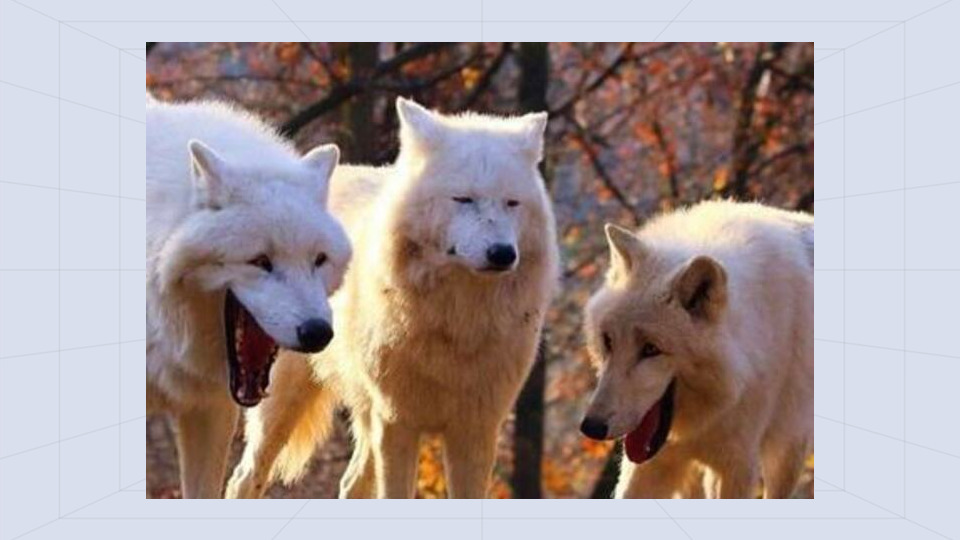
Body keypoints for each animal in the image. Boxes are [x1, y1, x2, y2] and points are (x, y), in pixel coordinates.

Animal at [225, 98, 559, 499]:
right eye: (463, 199)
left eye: (512, 203)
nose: (503, 254)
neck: (458, 321)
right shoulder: (397, 420)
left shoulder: (477, 428)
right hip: (284, 400)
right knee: (245, 477)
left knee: (351, 482)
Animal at [580, 201, 813, 499]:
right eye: (608, 341)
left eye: (651, 349)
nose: (591, 427)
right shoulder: (653, 461)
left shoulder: (738, 466)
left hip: (786, 453)